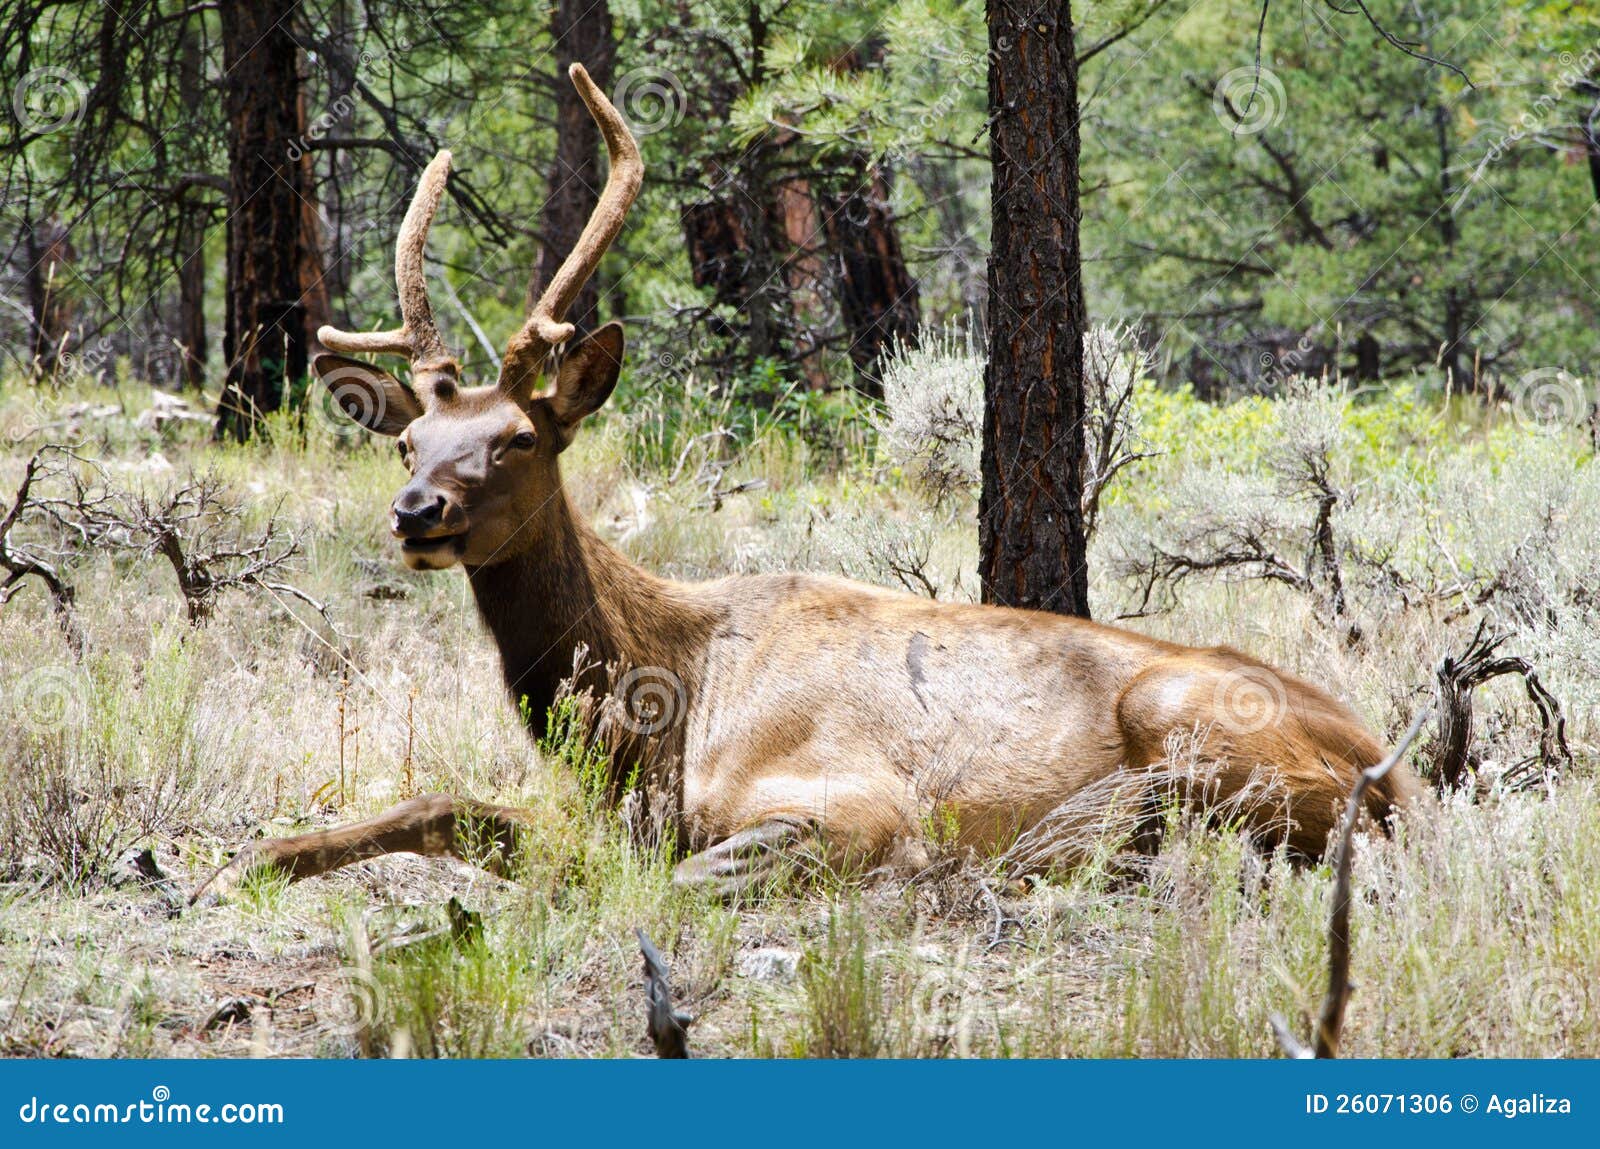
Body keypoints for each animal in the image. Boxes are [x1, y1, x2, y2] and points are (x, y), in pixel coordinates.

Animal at [192, 64, 1420, 904]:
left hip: (1202, 726)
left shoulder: (848, 802)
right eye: (411, 442)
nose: (419, 512)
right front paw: (243, 861)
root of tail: (1400, 764)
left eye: (521, 438)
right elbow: (436, 802)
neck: (654, 715)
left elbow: (666, 880)